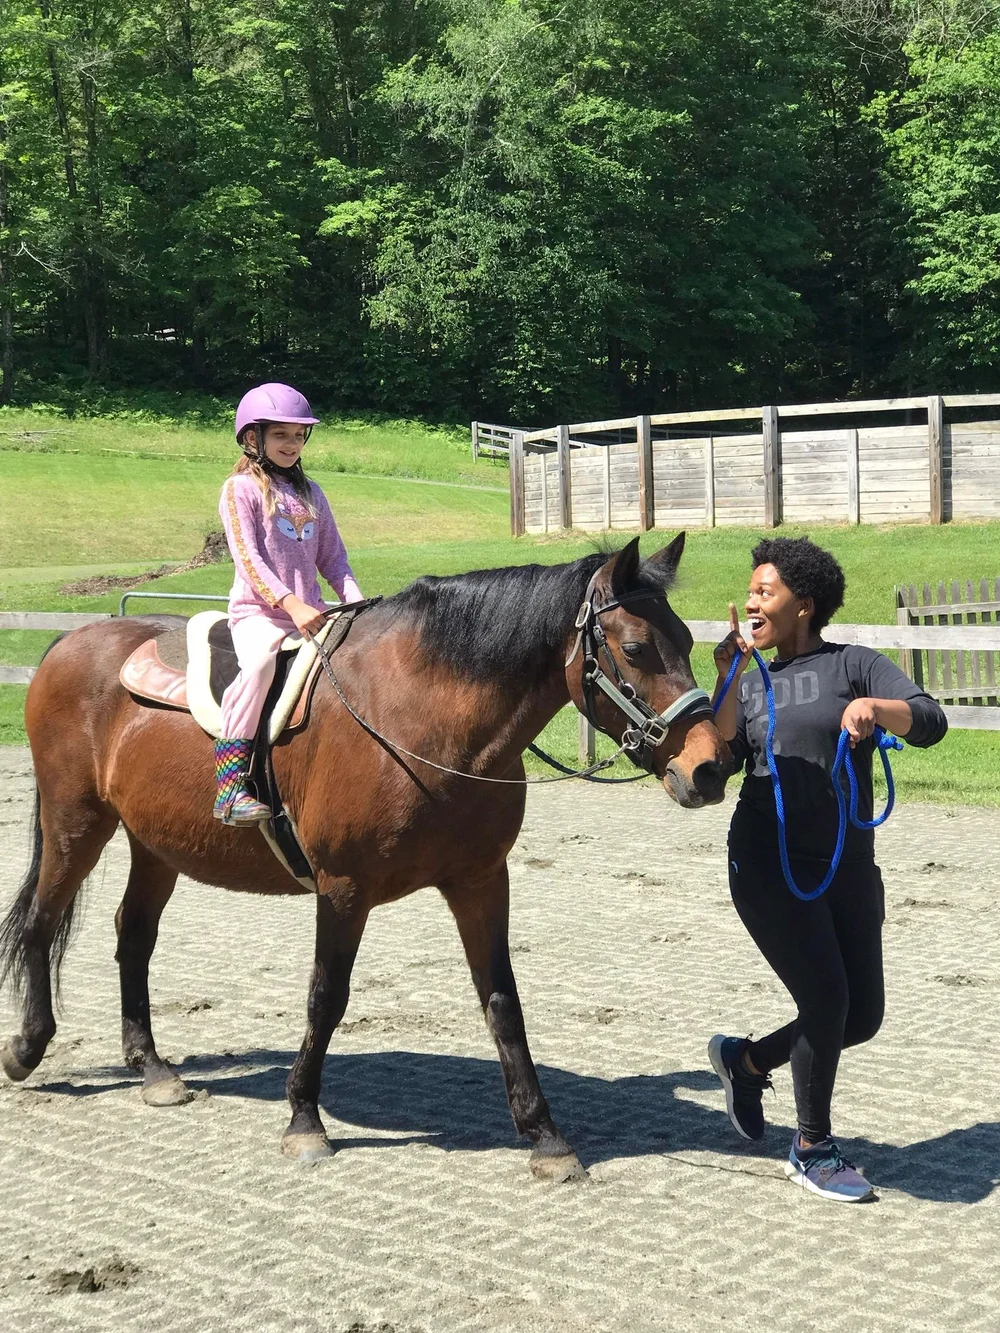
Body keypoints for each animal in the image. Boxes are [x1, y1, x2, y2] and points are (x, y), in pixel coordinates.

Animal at [0, 533, 730, 1180]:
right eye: (634, 647)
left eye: (687, 640)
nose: (712, 768)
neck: (422, 716)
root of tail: (70, 644)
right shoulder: (344, 887)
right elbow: (327, 996)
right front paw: (303, 1120)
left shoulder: (480, 881)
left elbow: (502, 1001)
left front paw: (545, 1136)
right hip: (76, 823)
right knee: (40, 922)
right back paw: (27, 1050)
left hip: (154, 843)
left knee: (134, 937)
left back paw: (151, 1068)